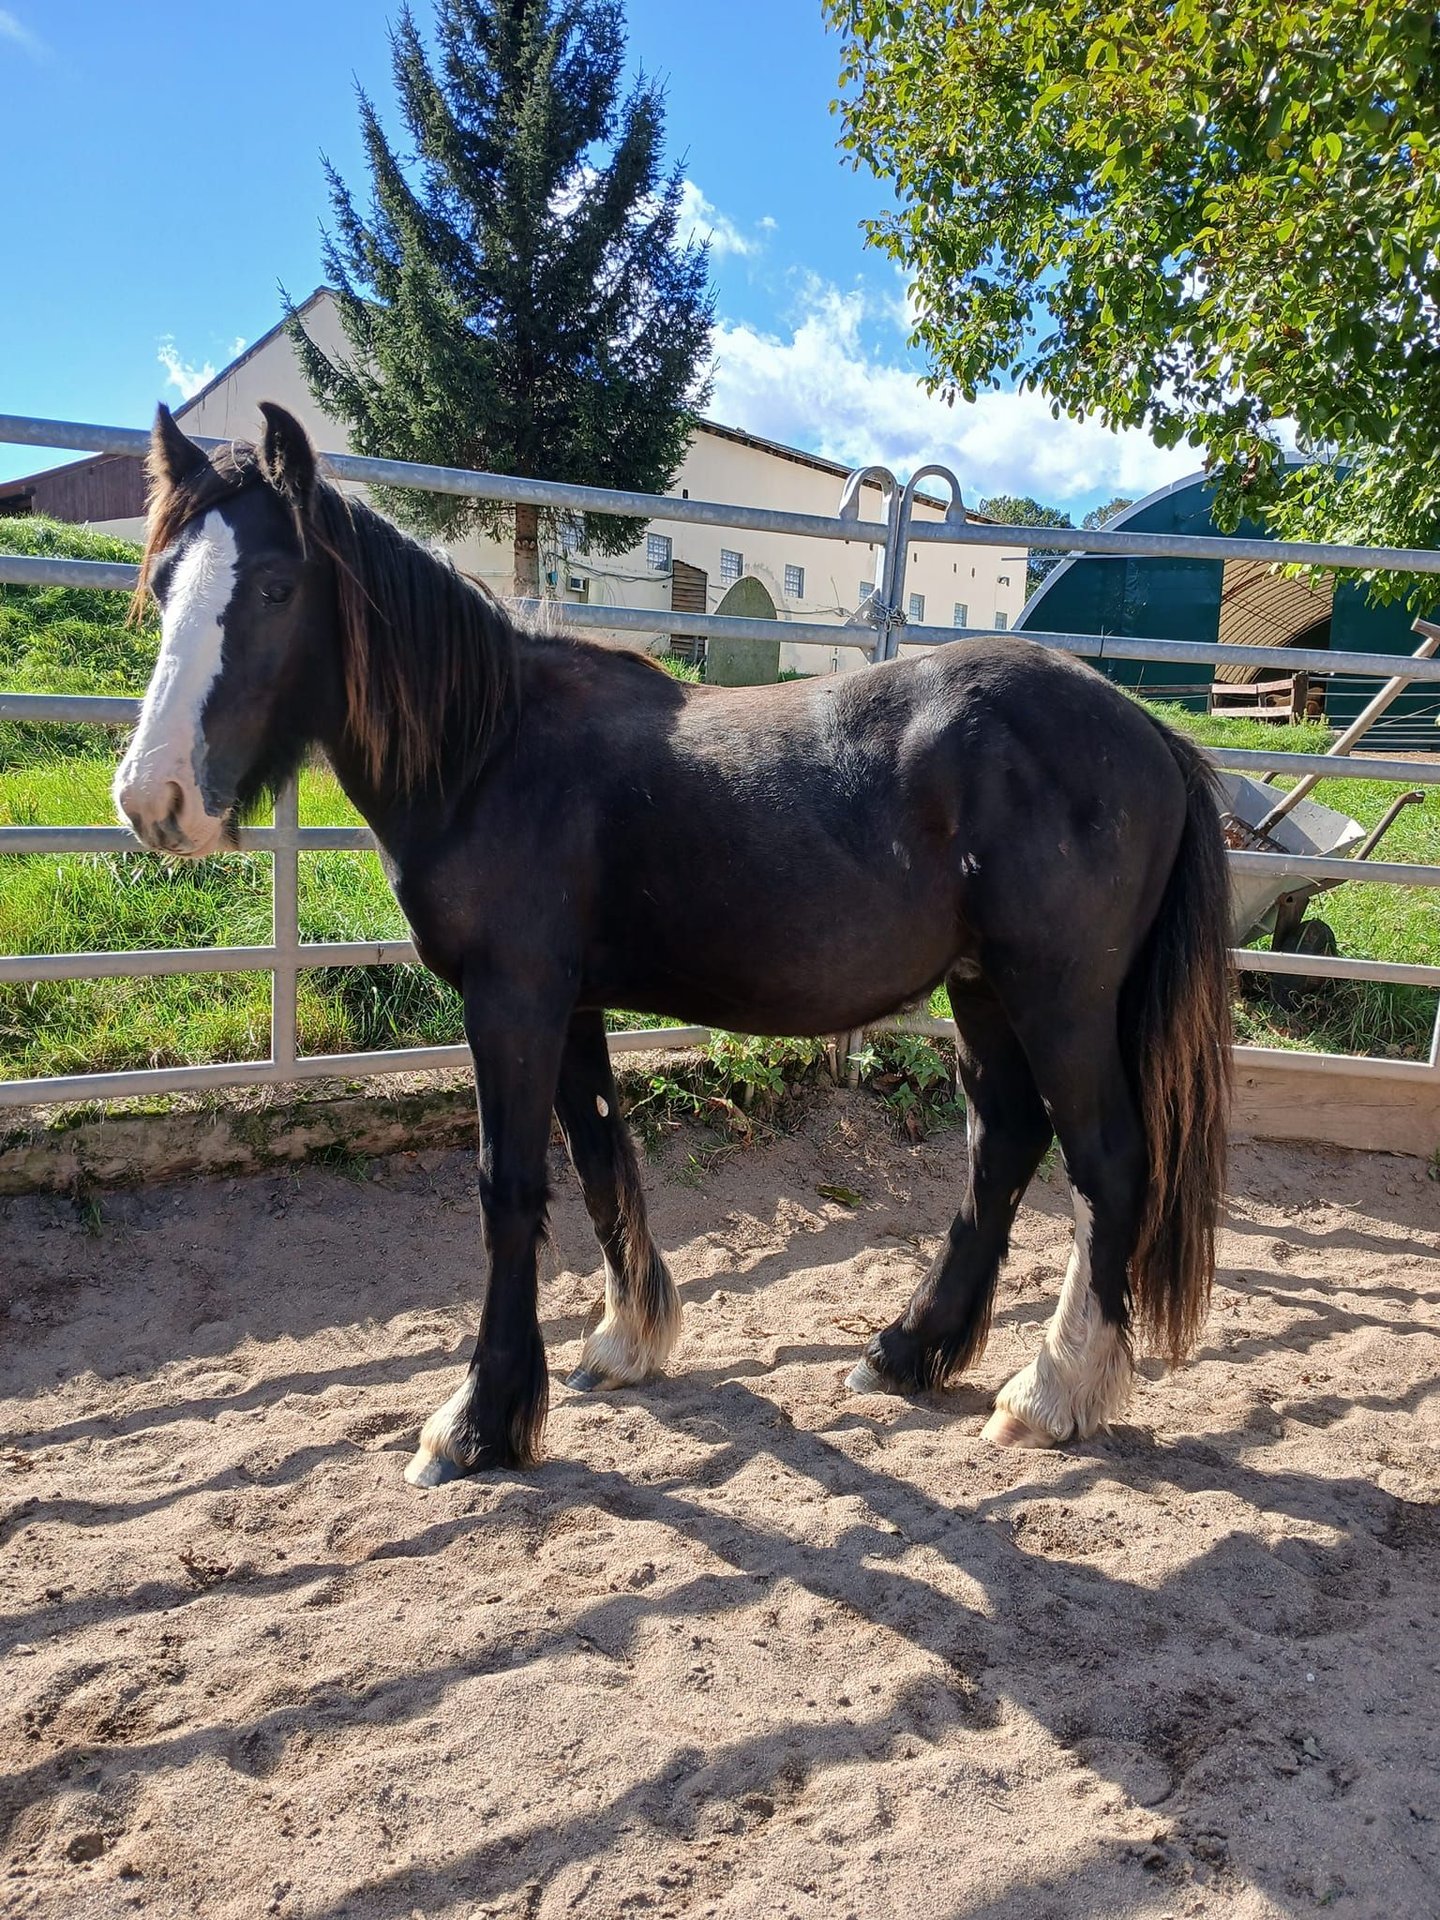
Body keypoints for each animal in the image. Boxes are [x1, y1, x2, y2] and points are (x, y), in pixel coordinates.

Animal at [115, 402, 1232, 1487]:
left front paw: (479, 1423)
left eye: (272, 585)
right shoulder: (567, 1004)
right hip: (984, 991)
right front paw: (624, 1344)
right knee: (1003, 1145)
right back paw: (908, 1352)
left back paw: (1050, 1396)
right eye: (164, 584)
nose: (153, 799)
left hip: (1059, 999)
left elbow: (508, 1189)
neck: (493, 753)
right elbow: (601, 1154)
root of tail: (1151, 733)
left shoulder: (511, 999)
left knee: (1106, 1164)